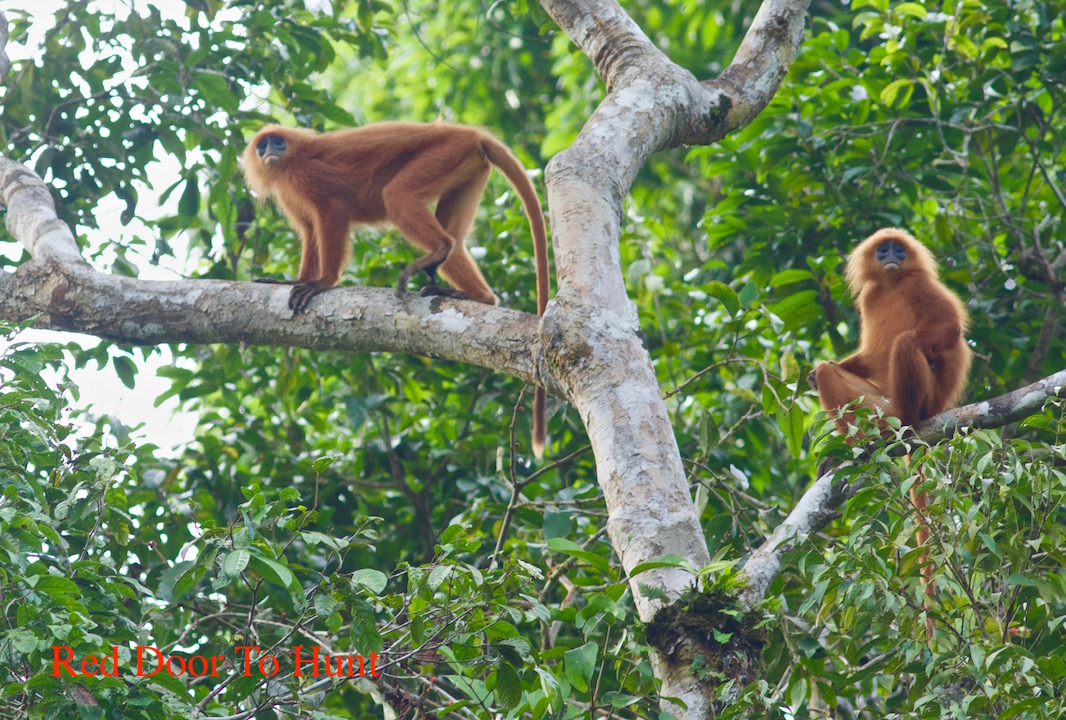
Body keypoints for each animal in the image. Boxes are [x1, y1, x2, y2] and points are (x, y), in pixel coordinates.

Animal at [241, 121, 550, 458]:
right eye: (263, 145)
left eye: (278, 142)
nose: (269, 151)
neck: (290, 162)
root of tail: (470, 133)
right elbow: (310, 231)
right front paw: (293, 282)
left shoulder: (306, 175)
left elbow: (332, 210)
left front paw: (322, 283)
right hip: (467, 166)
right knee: (455, 240)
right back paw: (475, 294)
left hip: (445, 153)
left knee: (398, 197)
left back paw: (440, 250)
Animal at [810, 228, 972, 622]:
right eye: (883, 250)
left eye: (899, 250)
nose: (892, 257)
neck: (893, 282)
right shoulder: (872, 296)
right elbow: (867, 358)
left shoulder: (919, 283)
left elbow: (949, 326)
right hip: (879, 407)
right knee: (828, 374)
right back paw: (860, 447)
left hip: (924, 399)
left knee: (905, 342)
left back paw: (909, 420)